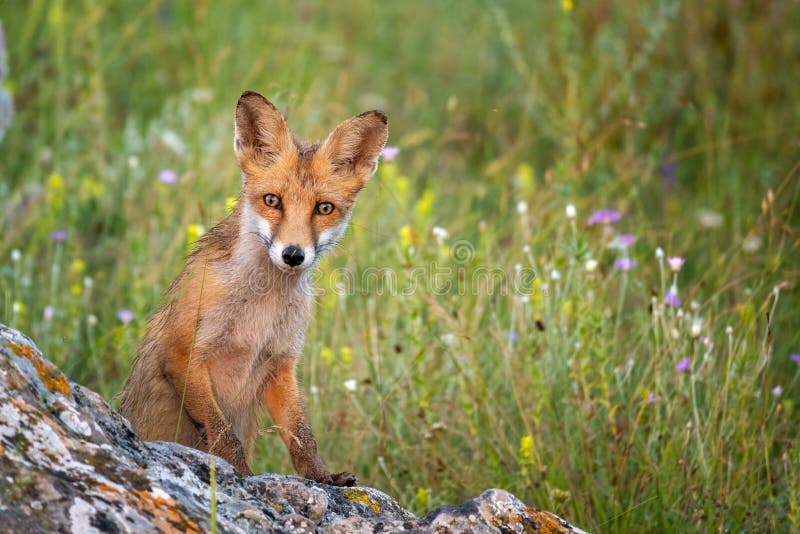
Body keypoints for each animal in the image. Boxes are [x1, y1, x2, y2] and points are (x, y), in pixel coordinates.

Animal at [119, 91, 388, 486]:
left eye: (324, 208)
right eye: (272, 200)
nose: (293, 255)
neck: (259, 311)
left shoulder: (280, 363)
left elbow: (302, 436)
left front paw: (321, 477)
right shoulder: (183, 355)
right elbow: (224, 435)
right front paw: (243, 477)